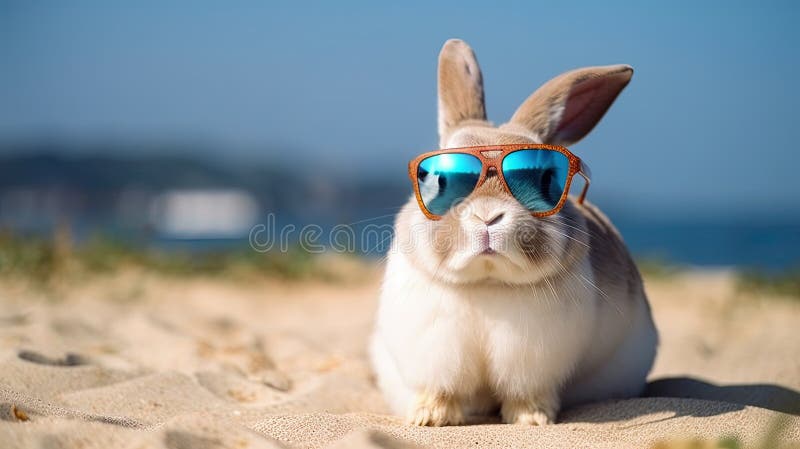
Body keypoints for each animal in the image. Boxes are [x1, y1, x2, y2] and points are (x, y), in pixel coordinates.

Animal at [369, 39, 658, 426]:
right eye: (439, 179)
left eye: (545, 179)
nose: (487, 217)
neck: (488, 281)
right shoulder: (435, 355)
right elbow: (441, 390)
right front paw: (428, 418)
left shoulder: (535, 362)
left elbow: (525, 394)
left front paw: (532, 419)